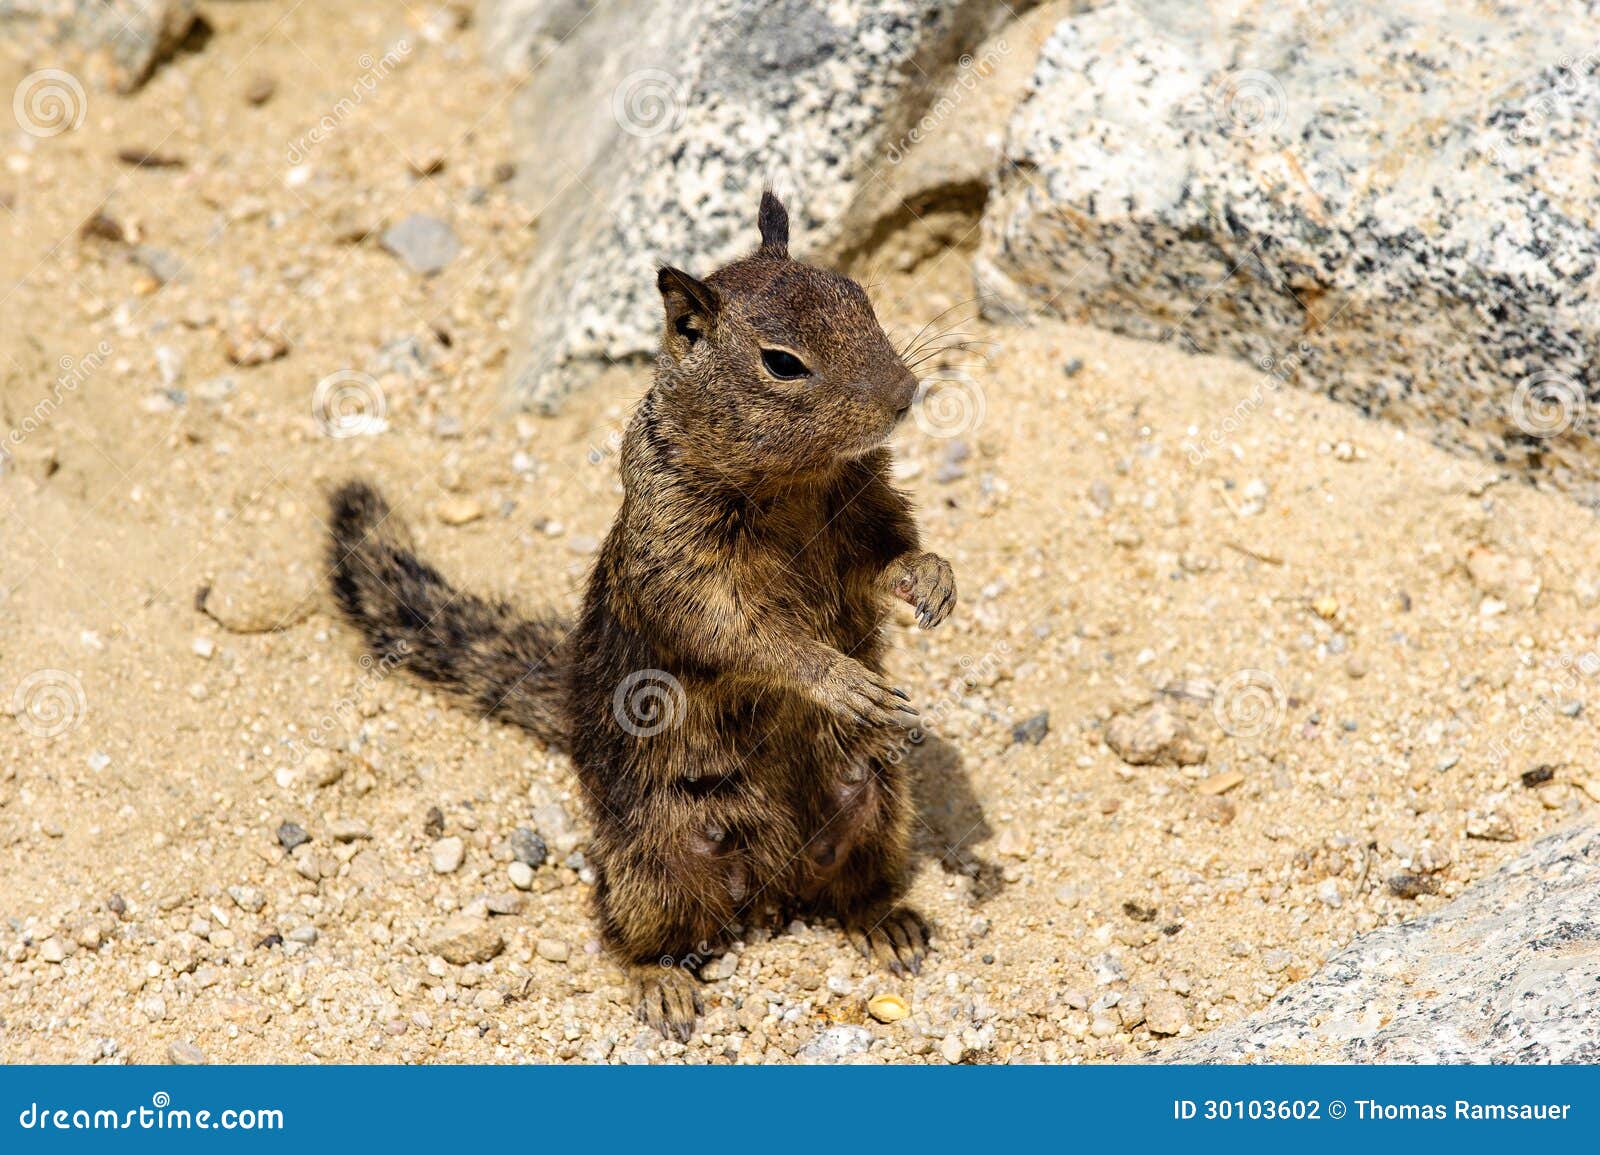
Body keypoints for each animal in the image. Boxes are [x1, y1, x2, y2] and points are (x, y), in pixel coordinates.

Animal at [326, 192, 958, 1041]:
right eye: (782, 362)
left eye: (860, 297)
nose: (904, 394)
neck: (793, 479)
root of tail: (772, 887)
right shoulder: (679, 555)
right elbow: (740, 632)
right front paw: (837, 677)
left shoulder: (862, 507)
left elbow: (887, 559)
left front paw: (933, 576)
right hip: (652, 855)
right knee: (630, 928)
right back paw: (663, 981)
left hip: (876, 805)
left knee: (850, 889)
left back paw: (885, 921)